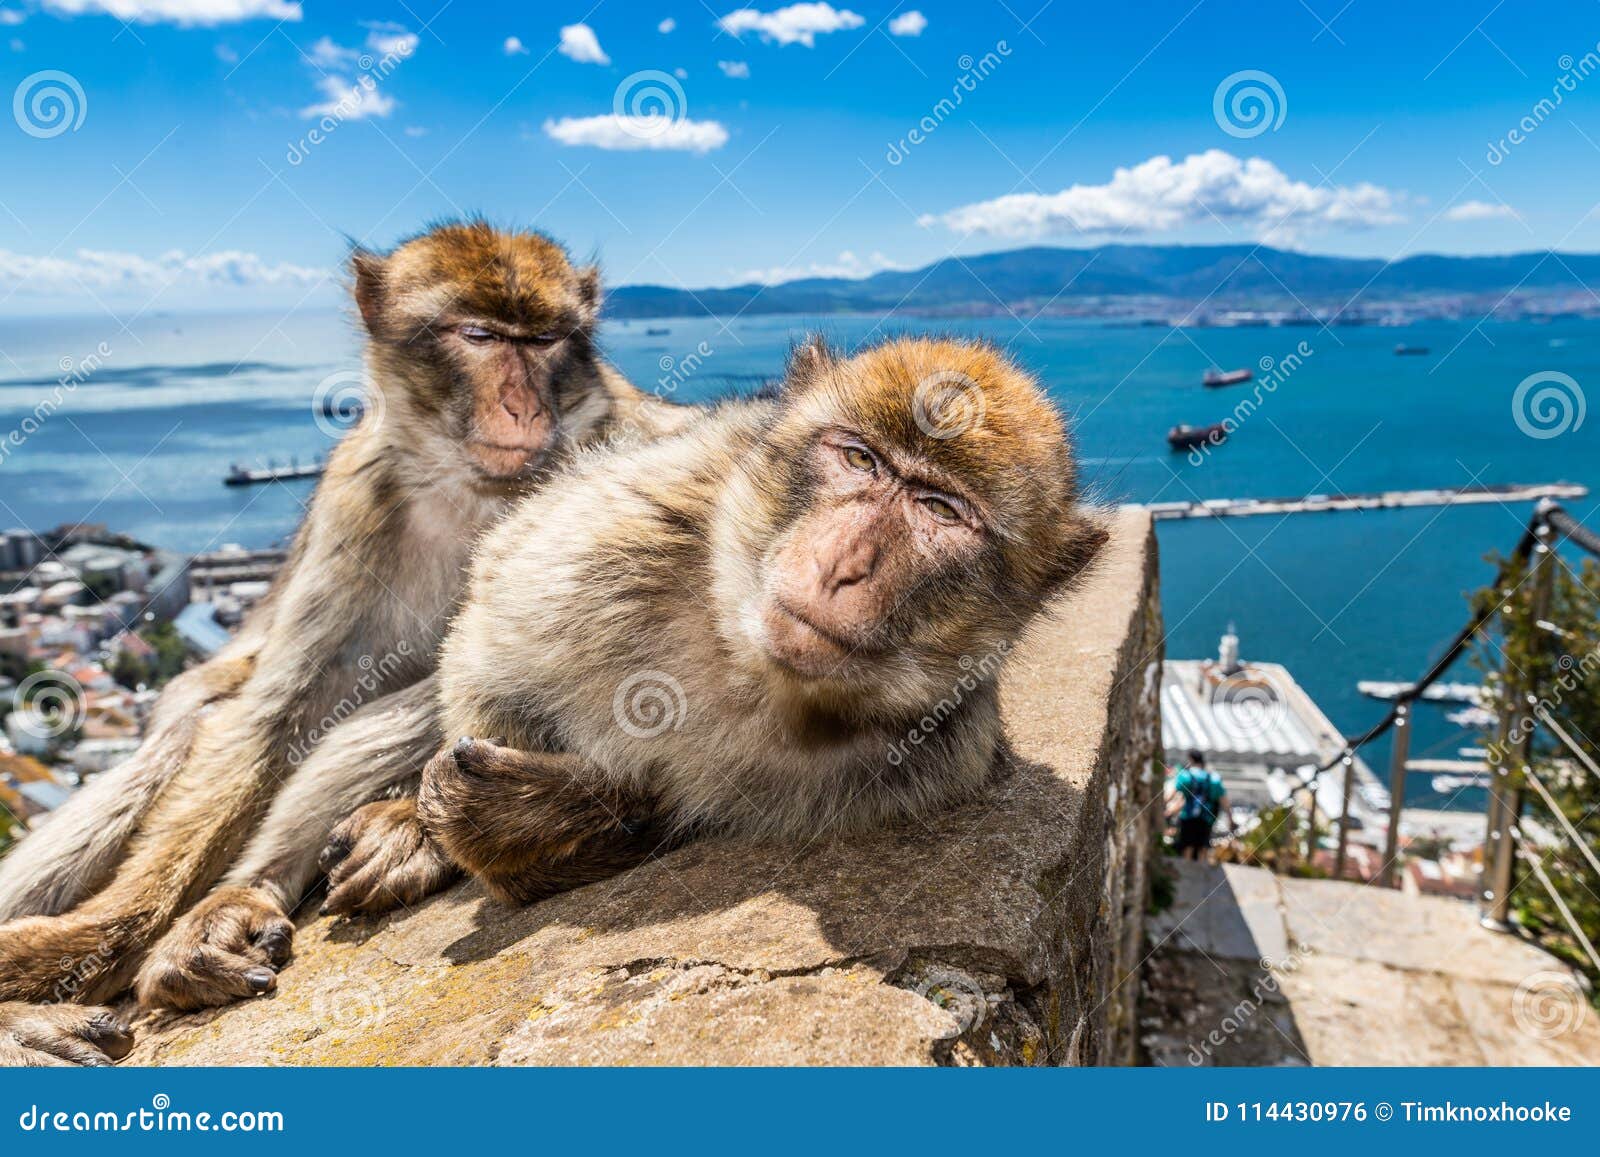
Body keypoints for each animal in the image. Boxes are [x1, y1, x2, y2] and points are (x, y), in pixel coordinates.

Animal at [0, 220, 688, 1049]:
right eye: (481, 336)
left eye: (546, 340)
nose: (524, 405)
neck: (468, 485)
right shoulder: (355, 501)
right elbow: (271, 715)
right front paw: (97, 936)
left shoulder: (633, 445)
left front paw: (442, 826)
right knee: (199, 723)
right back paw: (241, 898)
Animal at [411, 335, 1107, 906]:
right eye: (861, 460)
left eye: (939, 508)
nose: (842, 563)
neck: (750, 670)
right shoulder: (604, 541)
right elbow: (482, 656)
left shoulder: (942, 760)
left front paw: (544, 814)